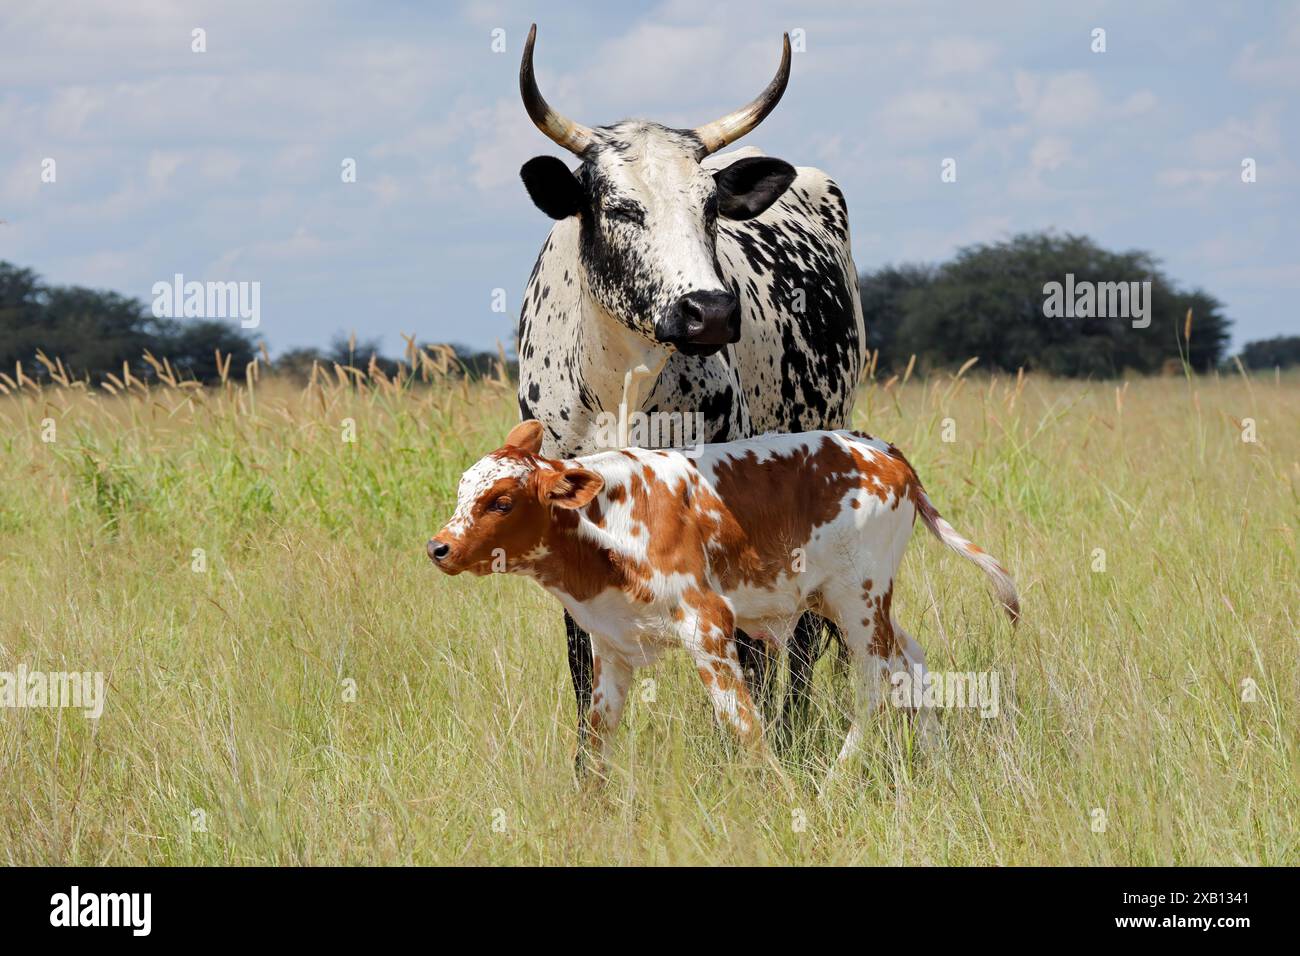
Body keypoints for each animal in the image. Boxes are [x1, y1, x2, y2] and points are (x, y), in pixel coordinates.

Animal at [427, 420, 1020, 778]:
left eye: (502, 501)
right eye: (461, 491)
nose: (439, 547)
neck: (611, 521)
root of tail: (876, 448)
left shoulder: (707, 625)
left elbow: (744, 725)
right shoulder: (612, 648)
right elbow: (596, 739)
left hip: (861, 601)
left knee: (874, 684)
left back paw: (835, 781)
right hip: (847, 603)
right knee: (910, 663)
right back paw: (937, 765)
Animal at [513, 25, 866, 769]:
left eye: (708, 207)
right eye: (621, 208)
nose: (710, 312)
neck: (619, 383)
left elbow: (741, 651)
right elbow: (584, 658)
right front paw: (590, 769)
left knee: (795, 639)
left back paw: (792, 731)